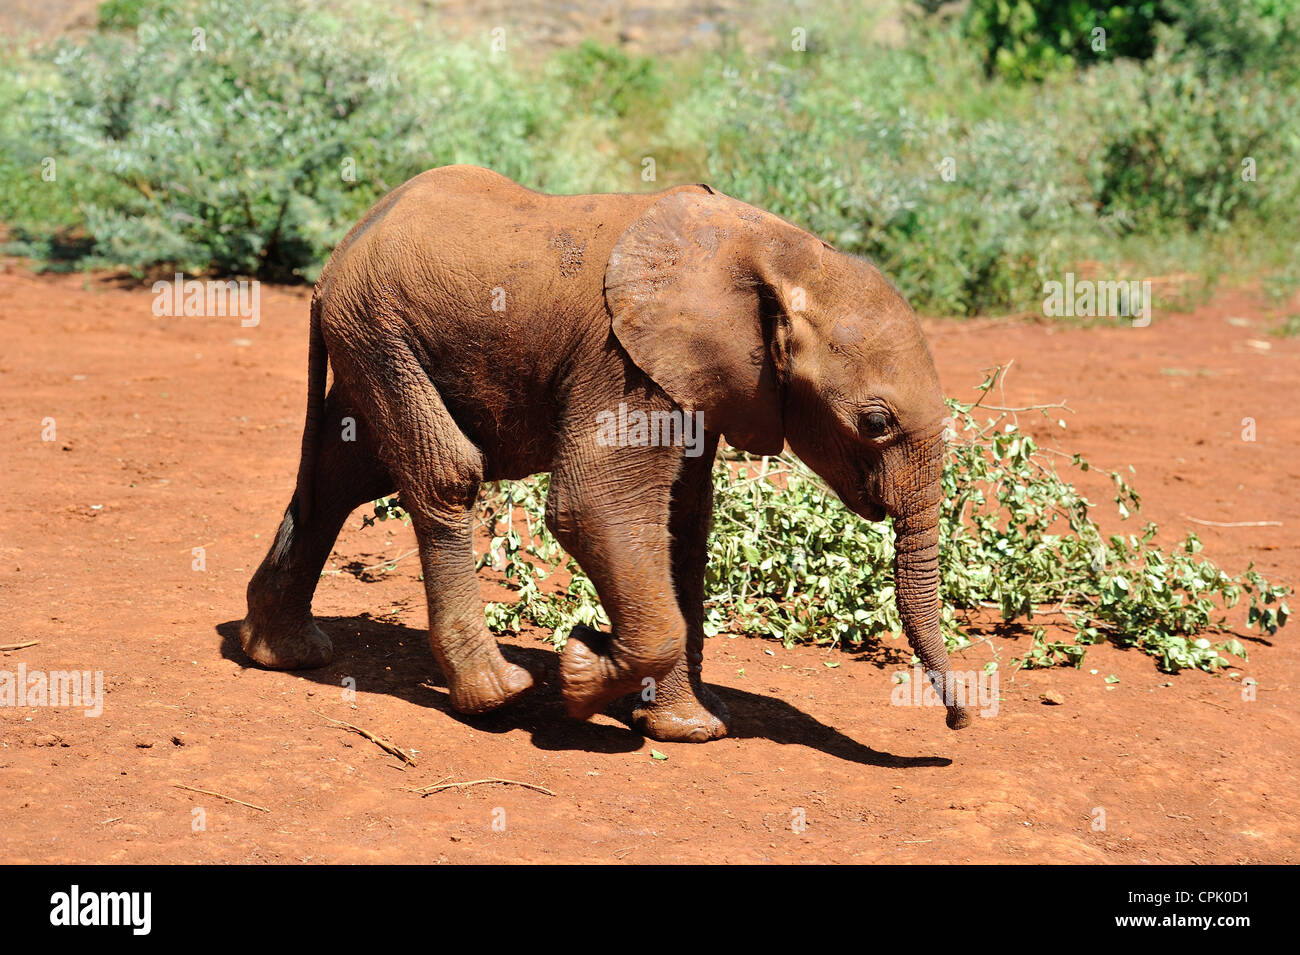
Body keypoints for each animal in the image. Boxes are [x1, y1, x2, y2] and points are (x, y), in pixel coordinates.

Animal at [239, 164, 973, 741]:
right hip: (378, 329)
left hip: (376, 338)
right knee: (445, 473)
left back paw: (283, 654)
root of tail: (336, 256)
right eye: (875, 423)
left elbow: (681, 526)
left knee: (340, 475)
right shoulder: (622, 359)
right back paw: (496, 694)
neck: (779, 250)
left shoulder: (693, 377)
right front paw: (580, 671)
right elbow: (597, 507)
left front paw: (684, 726)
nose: (958, 719)